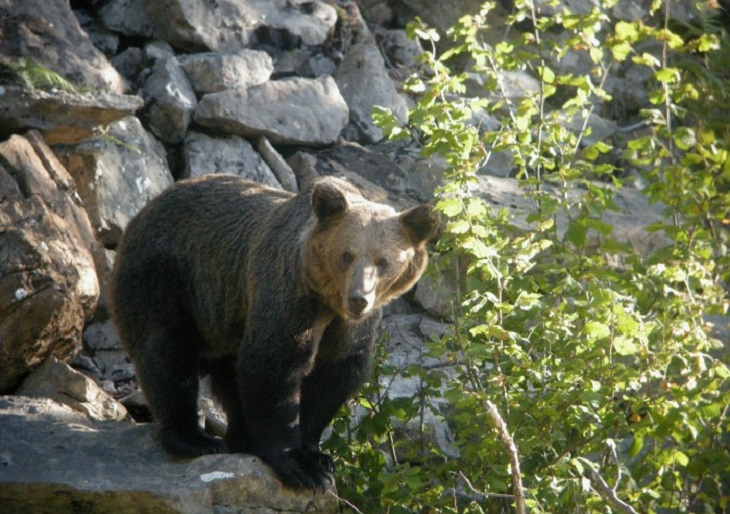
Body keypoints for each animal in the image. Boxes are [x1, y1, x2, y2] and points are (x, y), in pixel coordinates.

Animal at [110, 173, 437, 490]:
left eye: (383, 261)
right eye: (347, 255)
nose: (359, 299)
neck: (327, 301)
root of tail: (144, 210)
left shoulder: (352, 326)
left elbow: (336, 372)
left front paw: (316, 455)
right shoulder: (287, 290)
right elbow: (273, 364)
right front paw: (300, 468)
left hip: (226, 318)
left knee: (228, 375)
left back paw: (240, 438)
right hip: (167, 277)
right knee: (167, 353)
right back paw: (195, 439)